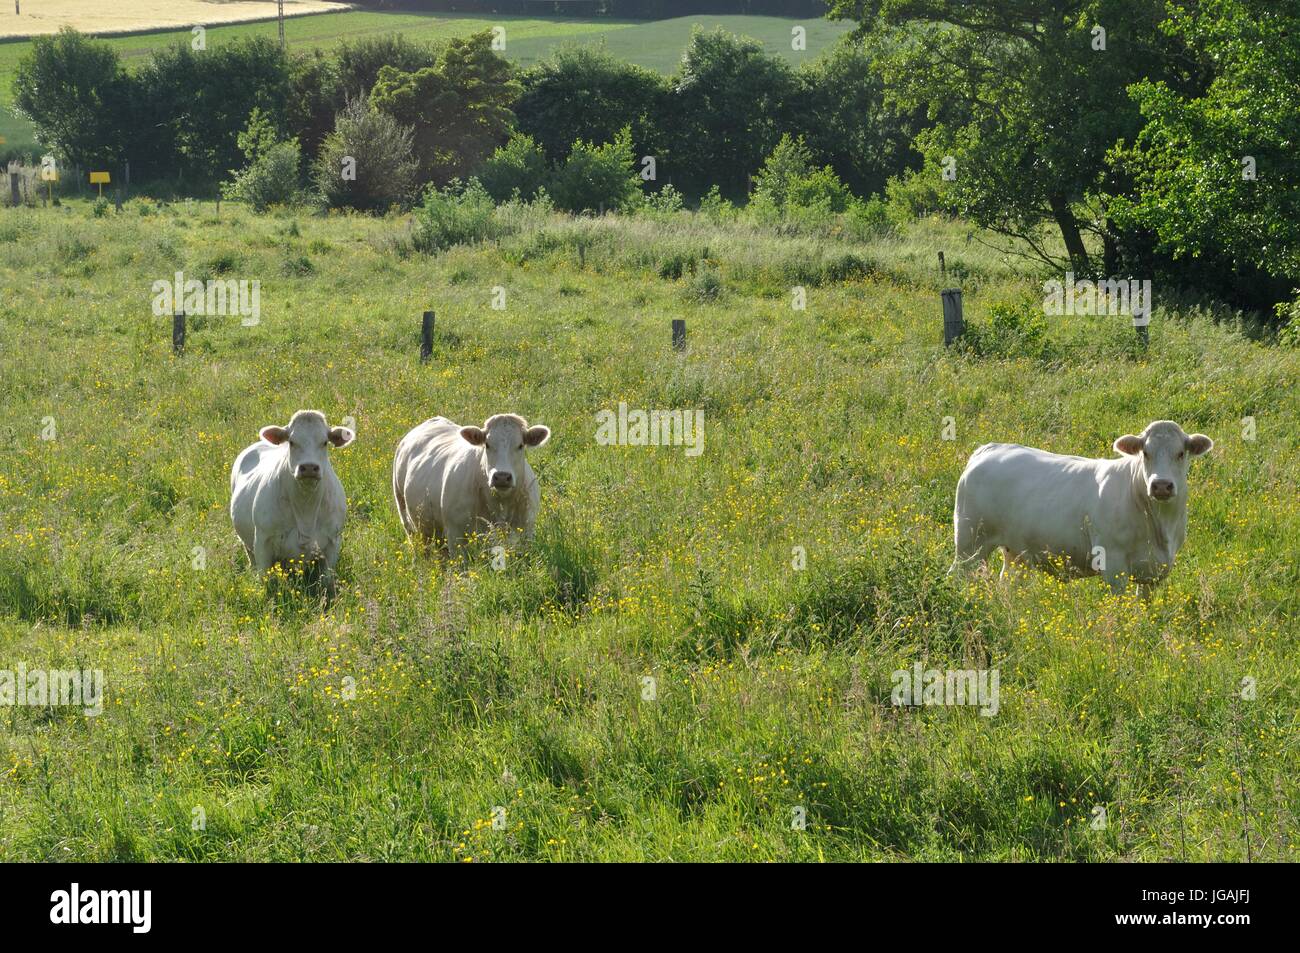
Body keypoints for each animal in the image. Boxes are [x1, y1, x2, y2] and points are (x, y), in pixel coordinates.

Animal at [230, 410, 355, 596]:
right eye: (292, 442)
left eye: (325, 442)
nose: (309, 467)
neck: (306, 508)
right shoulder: (262, 540)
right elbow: (266, 581)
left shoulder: (333, 540)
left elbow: (326, 581)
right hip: (248, 542)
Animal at [393, 414, 550, 555]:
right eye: (487, 444)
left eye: (520, 445)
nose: (501, 476)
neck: (500, 505)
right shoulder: (455, 535)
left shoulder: (526, 531)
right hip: (407, 517)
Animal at [949, 420, 1213, 594]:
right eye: (1145, 453)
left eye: (1181, 453)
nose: (1161, 486)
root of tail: (989, 448)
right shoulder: (1113, 565)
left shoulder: (1155, 572)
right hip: (970, 542)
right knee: (958, 574)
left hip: (1015, 551)